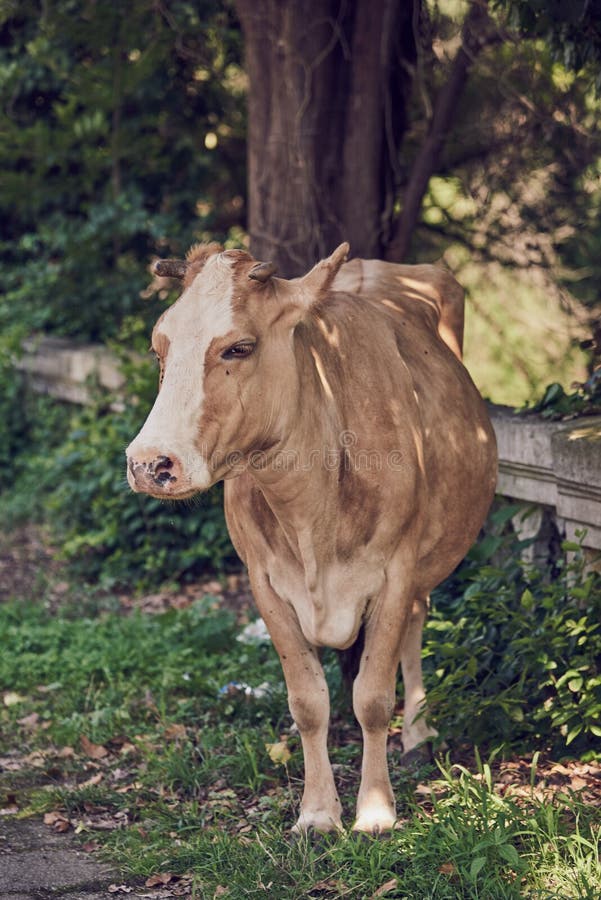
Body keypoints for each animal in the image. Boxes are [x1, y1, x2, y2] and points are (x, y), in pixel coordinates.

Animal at [126, 242, 497, 835]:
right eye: (158, 345)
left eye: (239, 346)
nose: (149, 463)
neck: (310, 510)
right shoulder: (264, 582)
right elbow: (307, 701)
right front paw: (318, 813)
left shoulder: (395, 570)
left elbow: (372, 697)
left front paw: (375, 812)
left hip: (423, 560)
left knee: (416, 624)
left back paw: (419, 731)